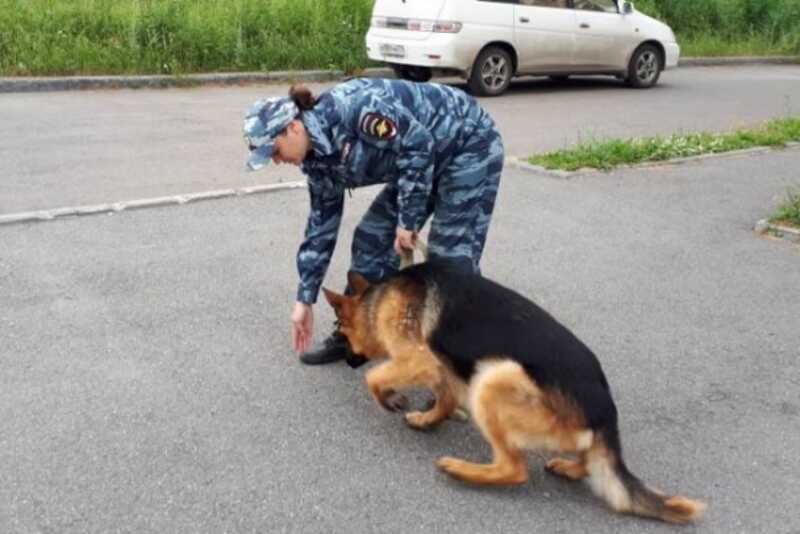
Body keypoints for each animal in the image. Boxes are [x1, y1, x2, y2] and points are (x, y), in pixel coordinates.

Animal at [322, 264, 704, 528]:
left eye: (341, 333)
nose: (346, 359)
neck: (378, 298)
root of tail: (605, 412)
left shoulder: (420, 358)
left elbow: (375, 377)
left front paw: (391, 398)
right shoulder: (442, 369)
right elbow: (444, 398)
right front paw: (428, 418)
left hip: (491, 379)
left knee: (514, 468)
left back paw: (461, 469)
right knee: (585, 458)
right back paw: (570, 467)